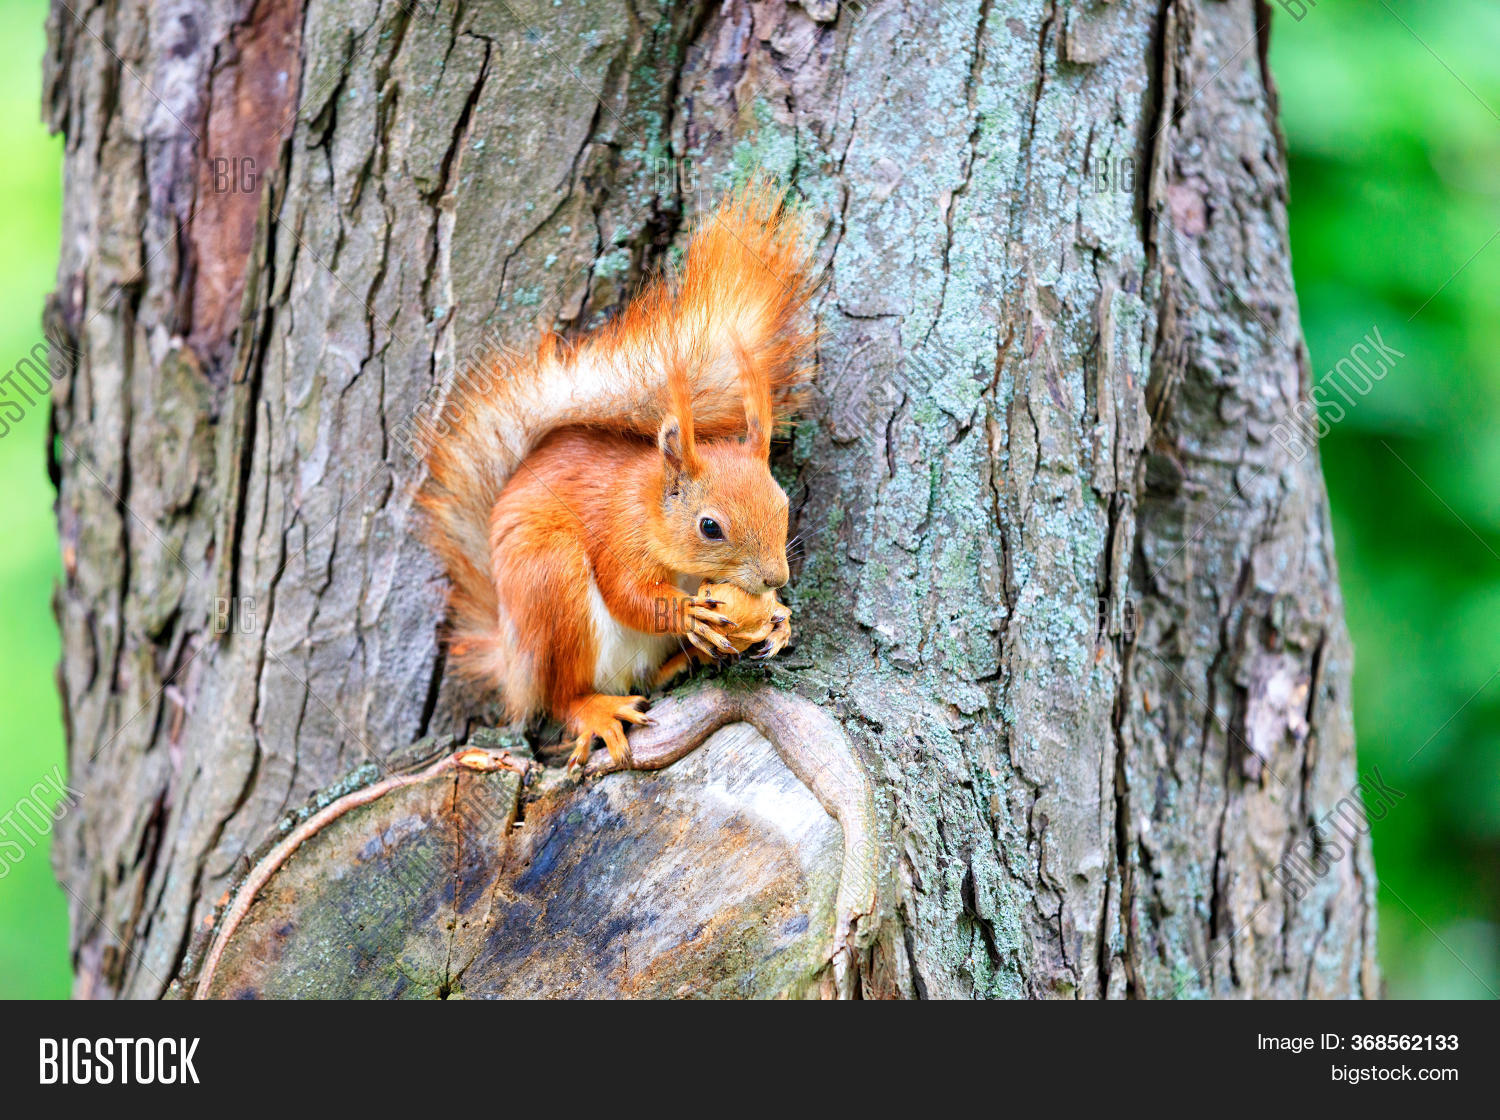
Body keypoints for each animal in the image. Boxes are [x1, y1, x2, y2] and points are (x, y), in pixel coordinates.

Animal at [417, 184, 816, 772]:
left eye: (783, 504)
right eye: (710, 527)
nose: (775, 578)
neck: (653, 506)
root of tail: (513, 660)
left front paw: (781, 620)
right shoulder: (618, 528)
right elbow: (628, 593)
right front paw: (687, 614)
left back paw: (684, 662)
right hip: (550, 582)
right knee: (563, 694)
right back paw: (600, 708)